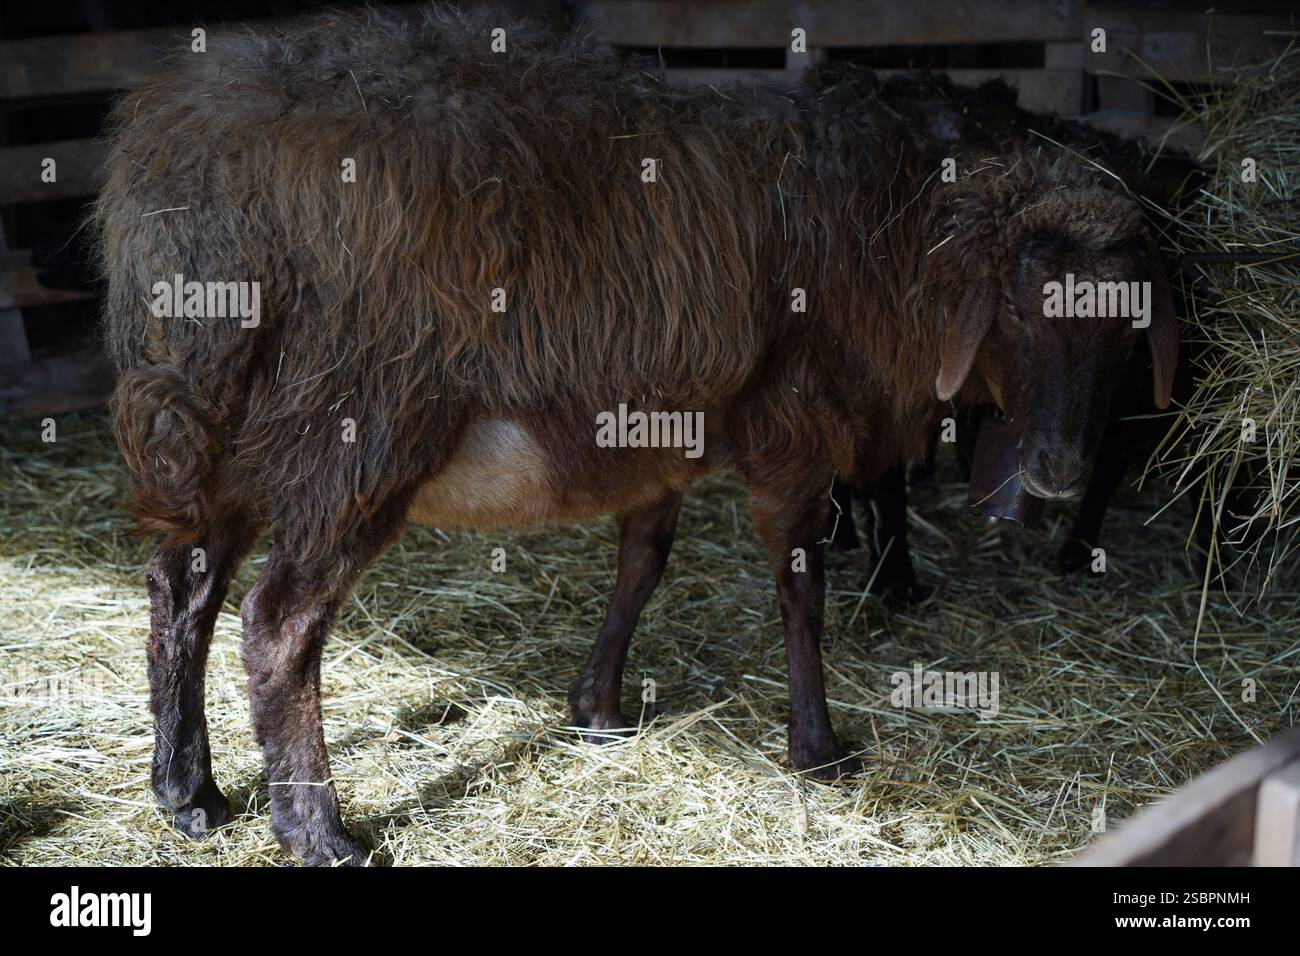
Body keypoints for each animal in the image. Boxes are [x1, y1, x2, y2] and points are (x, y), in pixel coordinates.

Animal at [97, 5, 1177, 865]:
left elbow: (643, 563)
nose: (1060, 469)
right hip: (357, 427)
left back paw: (189, 793)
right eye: (1021, 309)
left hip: (219, 422)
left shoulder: (660, 429)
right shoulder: (790, 426)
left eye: (1129, 328)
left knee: (179, 592)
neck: (892, 227)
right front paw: (818, 748)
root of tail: (195, 156)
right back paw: (318, 832)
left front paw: (599, 708)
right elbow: (799, 589)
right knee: (277, 623)